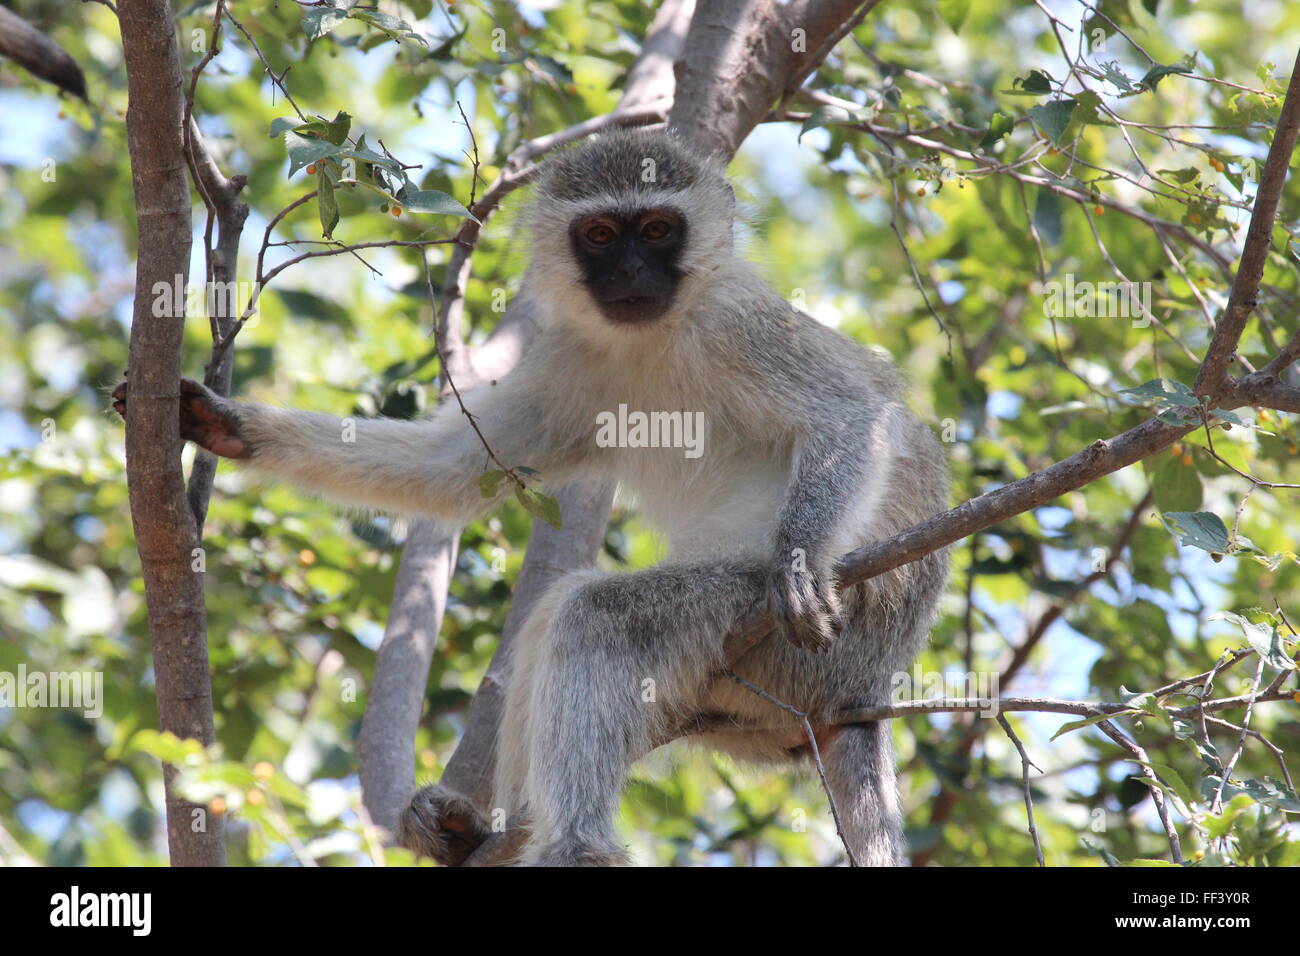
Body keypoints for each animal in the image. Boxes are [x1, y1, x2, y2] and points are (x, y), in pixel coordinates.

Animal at [113, 128, 949, 866]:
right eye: (601, 235)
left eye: (658, 229)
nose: (632, 275)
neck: (653, 335)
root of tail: (867, 691)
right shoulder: (569, 361)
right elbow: (454, 469)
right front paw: (222, 424)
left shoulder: (737, 324)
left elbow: (849, 414)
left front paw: (799, 565)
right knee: (555, 618)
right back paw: (473, 834)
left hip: (799, 645)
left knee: (596, 615)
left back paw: (577, 846)